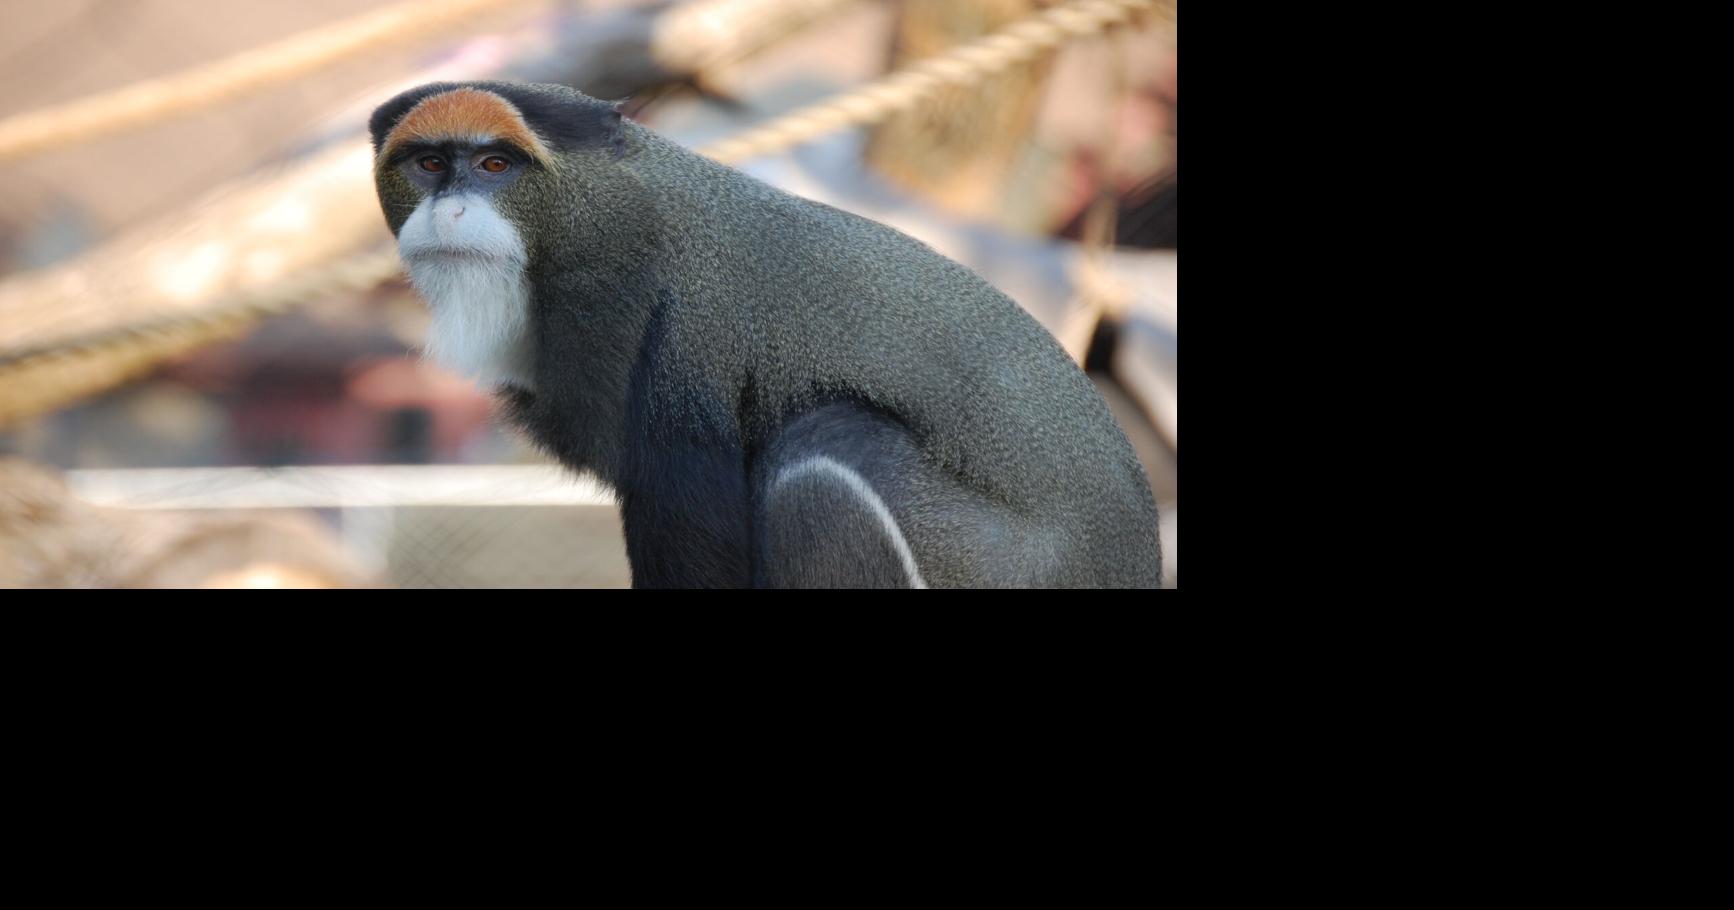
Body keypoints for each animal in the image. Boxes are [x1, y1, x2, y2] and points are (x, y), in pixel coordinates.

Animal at [369, 81, 1162, 588]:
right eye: (430, 163)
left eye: (495, 164)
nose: (450, 210)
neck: (597, 222)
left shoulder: (677, 350)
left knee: (827, 452)